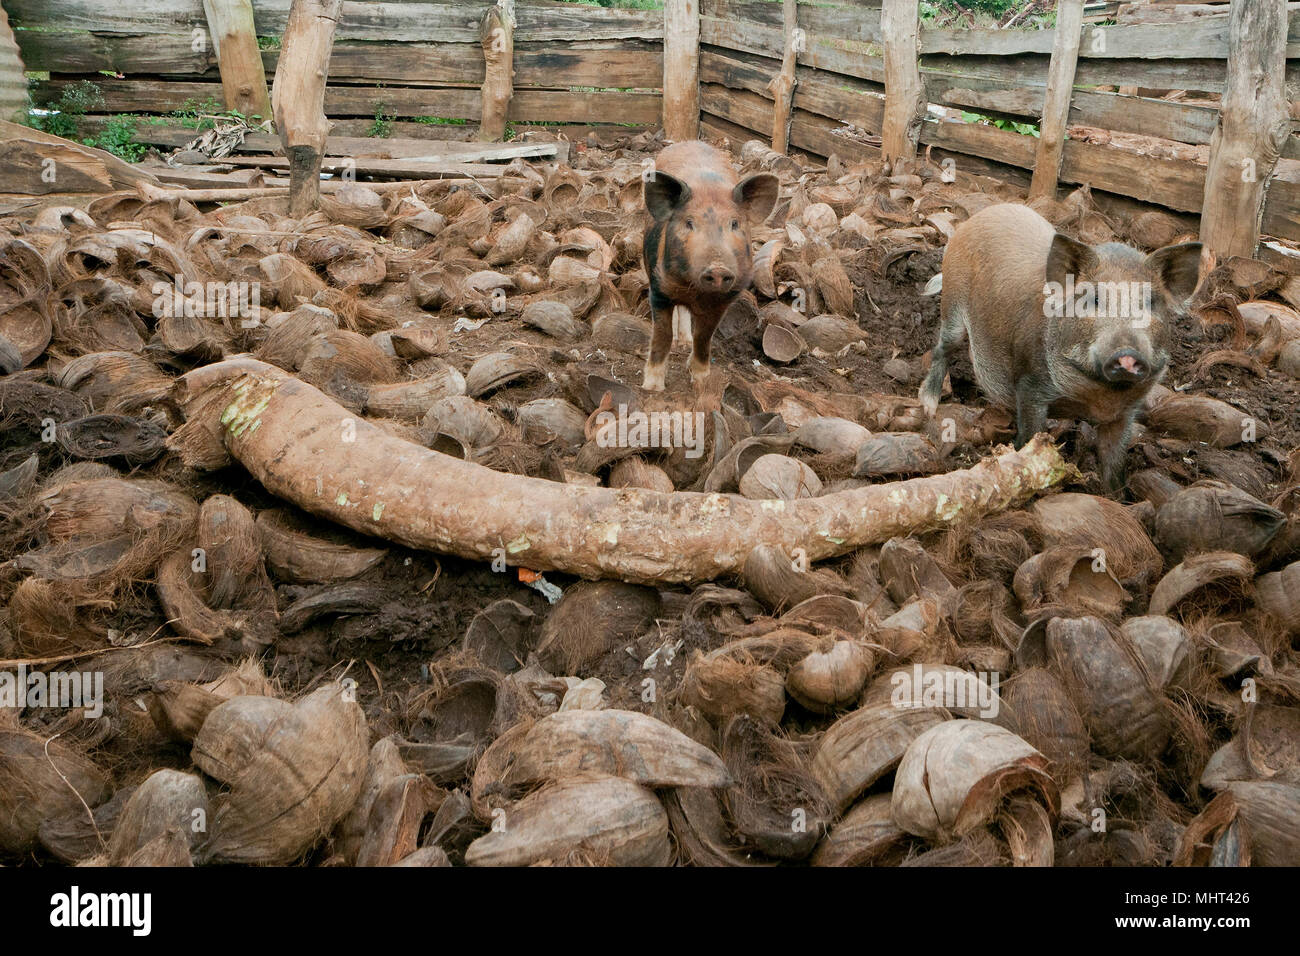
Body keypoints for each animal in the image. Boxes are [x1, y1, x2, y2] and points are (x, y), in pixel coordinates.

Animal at [641, 141, 779, 391]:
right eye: (689, 223)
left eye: (734, 223)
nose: (718, 268)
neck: (697, 293)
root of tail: (689, 141)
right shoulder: (658, 288)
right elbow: (662, 335)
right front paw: (652, 388)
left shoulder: (725, 299)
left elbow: (704, 337)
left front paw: (700, 380)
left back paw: (685, 343)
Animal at [918, 203, 1202, 490]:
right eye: (1092, 299)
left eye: (1151, 302)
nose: (1127, 353)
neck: (1099, 396)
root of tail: (976, 218)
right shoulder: (1030, 384)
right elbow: (1030, 437)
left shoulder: (1126, 413)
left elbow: (1115, 463)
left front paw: (1115, 495)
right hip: (952, 303)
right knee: (944, 348)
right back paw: (928, 407)